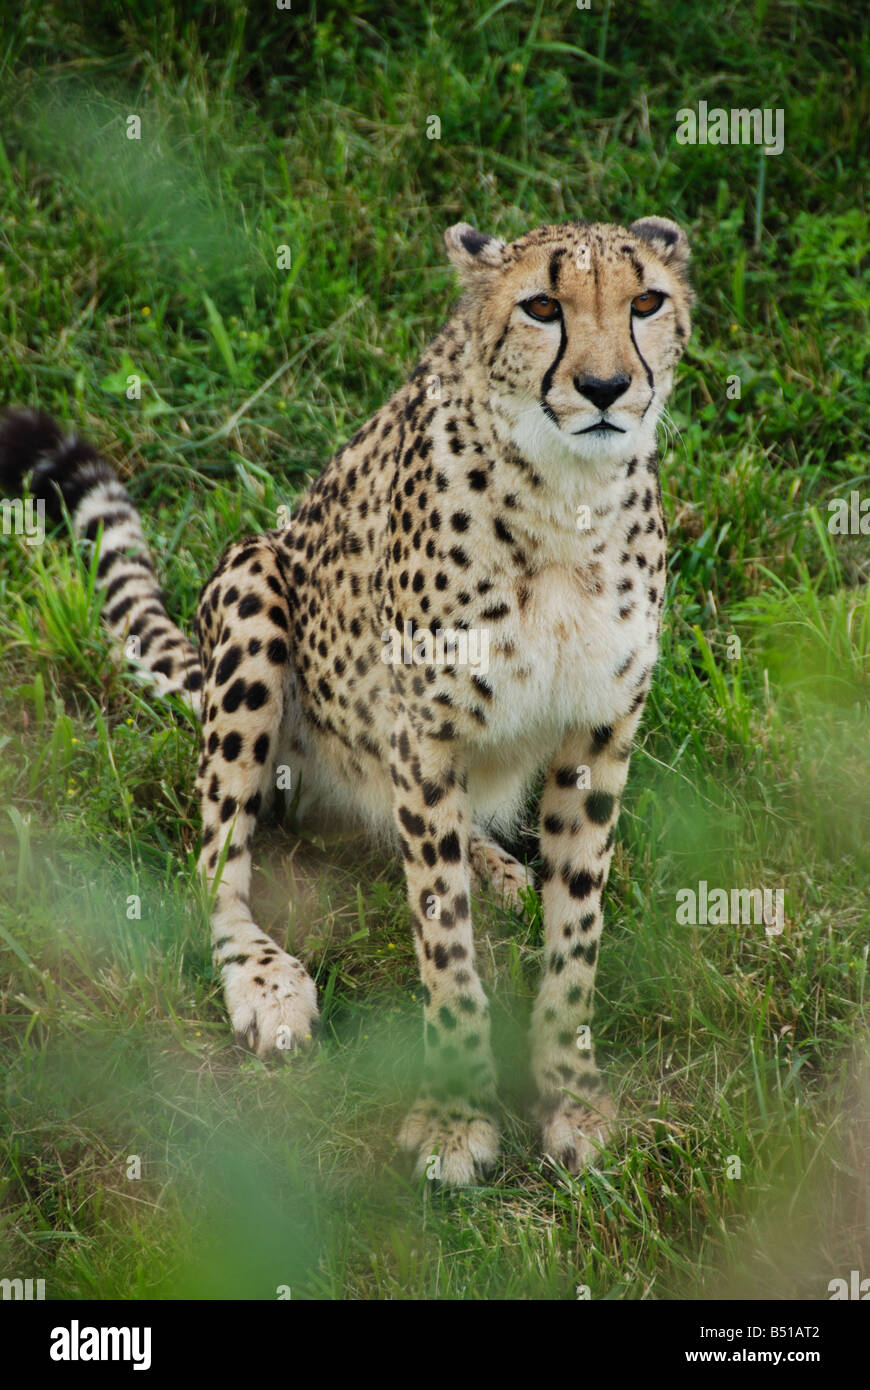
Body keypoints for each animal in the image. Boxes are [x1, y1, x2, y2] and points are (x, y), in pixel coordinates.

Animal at [0, 214, 693, 1186]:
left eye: (647, 302)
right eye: (542, 307)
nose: (605, 388)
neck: (567, 499)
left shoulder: (601, 727)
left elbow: (577, 931)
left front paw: (573, 1097)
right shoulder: (423, 731)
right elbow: (444, 942)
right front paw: (455, 1116)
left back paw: (496, 866)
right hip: (255, 591)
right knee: (215, 865)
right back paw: (266, 981)